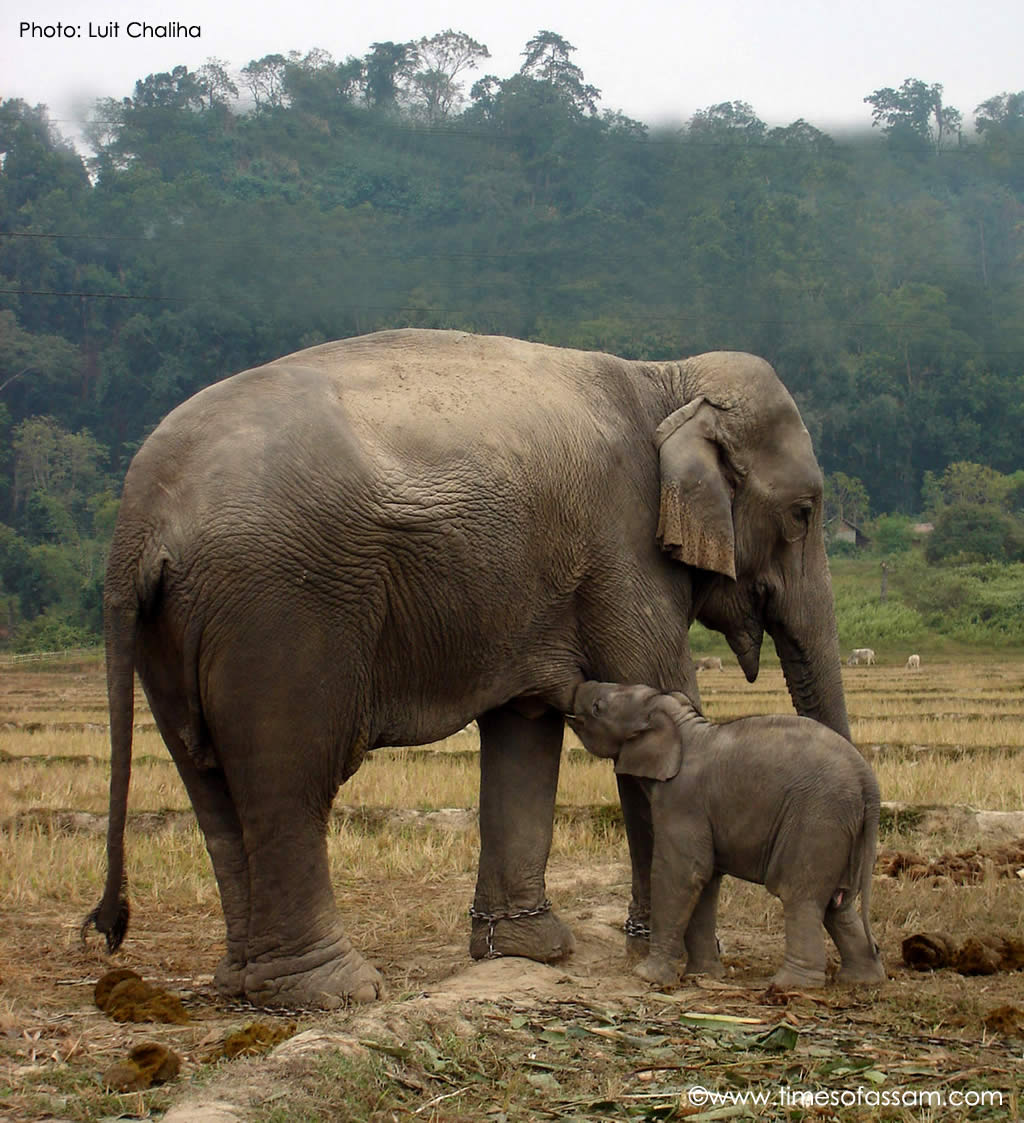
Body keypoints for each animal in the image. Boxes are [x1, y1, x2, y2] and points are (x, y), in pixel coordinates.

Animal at [83, 328, 850, 1009]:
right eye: (803, 513)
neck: (665, 377)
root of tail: (137, 524)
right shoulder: (623, 546)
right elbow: (661, 696)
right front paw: (685, 964)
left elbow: (526, 725)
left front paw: (529, 951)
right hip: (278, 609)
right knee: (290, 775)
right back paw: (332, 991)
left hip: (175, 629)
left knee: (210, 781)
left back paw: (241, 985)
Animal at [568, 682, 885, 989]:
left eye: (598, 707)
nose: (576, 688)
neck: (682, 726)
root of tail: (867, 782)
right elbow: (706, 880)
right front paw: (702, 976)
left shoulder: (683, 799)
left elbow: (682, 873)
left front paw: (647, 977)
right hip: (843, 831)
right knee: (837, 905)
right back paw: (860, 979)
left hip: (817, 821)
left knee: (799, 895)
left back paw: (789, 985)